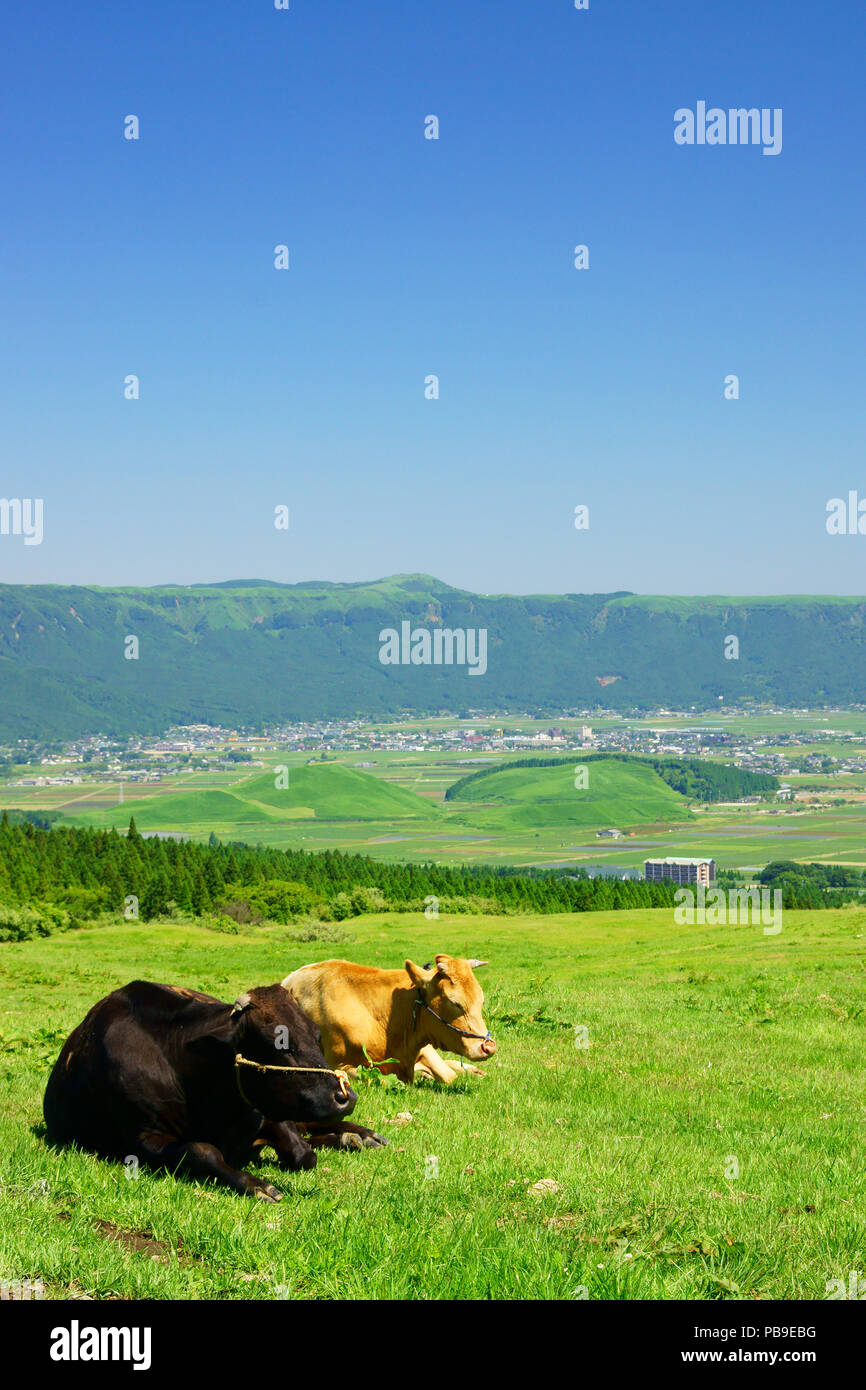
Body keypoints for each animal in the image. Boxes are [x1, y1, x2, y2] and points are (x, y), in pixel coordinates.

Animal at [43, 980, 387, 1201]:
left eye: (317, 1036)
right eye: (279, 1043)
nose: (344, 1097)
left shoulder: (263, 1108)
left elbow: (301, 1153)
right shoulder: (142, 1139)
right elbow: (203, 1151)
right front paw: (256, 1184)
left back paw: (359, 1134)